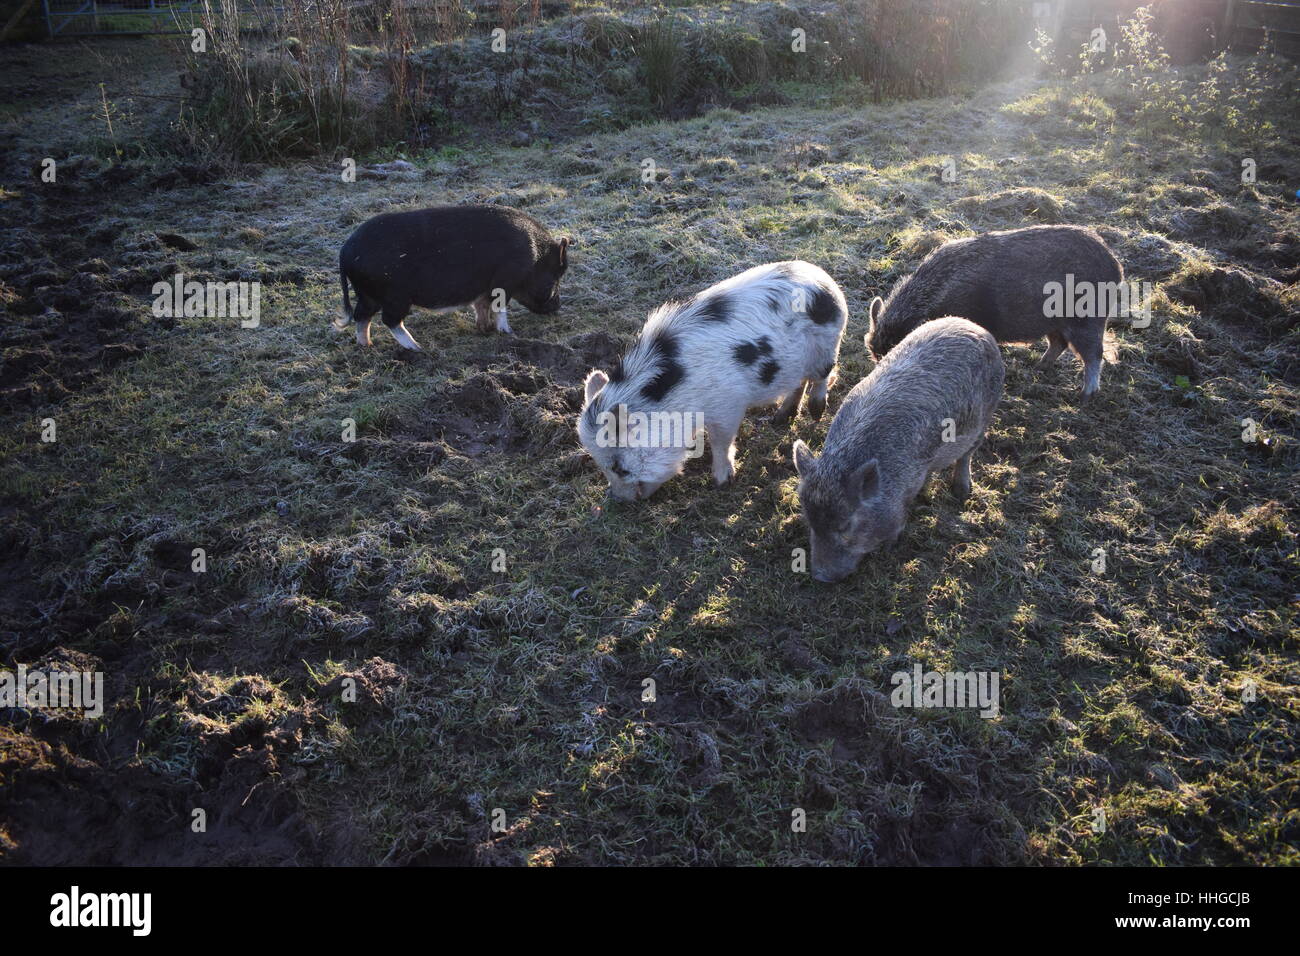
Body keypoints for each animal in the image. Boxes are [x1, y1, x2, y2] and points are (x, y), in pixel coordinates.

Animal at [335, 204, 571, 350]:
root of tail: (345, 251)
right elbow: (499, 307)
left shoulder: (484, 287)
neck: (535, 258)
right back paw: (417, 348)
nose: (557, 307)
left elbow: (482, 305)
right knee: (389, 320)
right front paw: (509, 333)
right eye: (554, 278)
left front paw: (484, 329)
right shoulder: (504, 281)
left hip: (367, 293)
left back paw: (367, 345)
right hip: (394, 296)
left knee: (361, 316)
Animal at [579, 261, 848, 501]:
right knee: (798, 382)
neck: (675, 398)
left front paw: (721, 483)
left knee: (820, 378)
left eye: (620, 468)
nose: (616, 500)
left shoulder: (728, 405)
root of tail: (823, 278)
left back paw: (816, 412)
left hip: (828, 345)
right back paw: (780, 419)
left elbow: (721, 441)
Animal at [794, 317, 1004, 583]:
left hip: (987, 414)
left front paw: (890, 547)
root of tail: (975, 327)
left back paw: (962, 492)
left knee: (967, 455)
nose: (820, 576)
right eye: (810, 521)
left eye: (847, 526)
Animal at [865, 225, 1122, 397]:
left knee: (1094, 353)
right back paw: (1039, 367)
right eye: (876, 355)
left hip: (1088, 319)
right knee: (1059, 344)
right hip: (1054, 322)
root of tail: (1116, 266)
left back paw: (1085, 394)